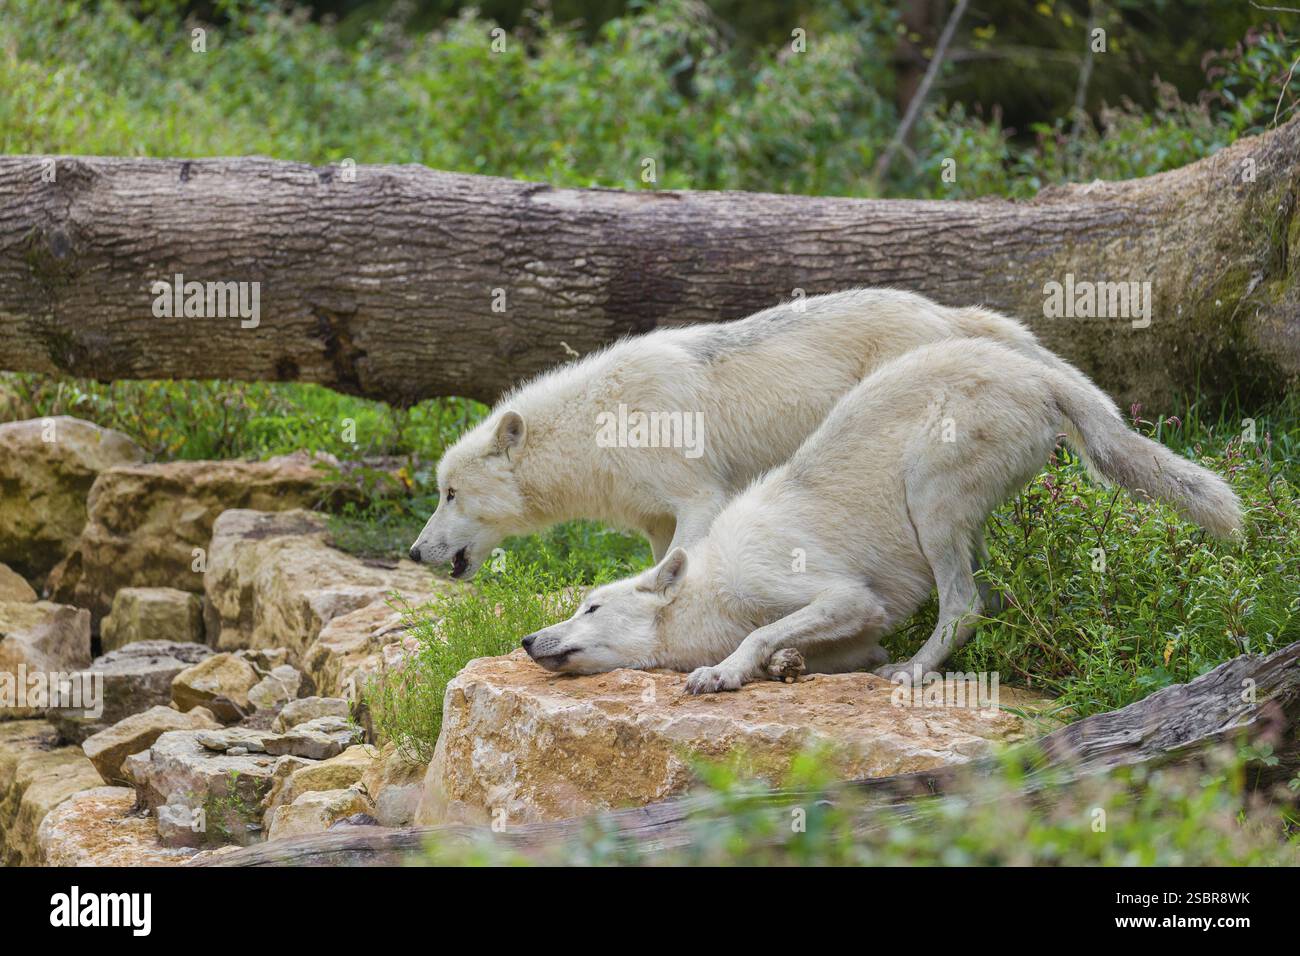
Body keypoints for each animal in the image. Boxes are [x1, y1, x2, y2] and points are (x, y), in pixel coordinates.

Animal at [409, 288, 1062, 578]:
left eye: (450, 494)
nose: (414, 552)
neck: (596, 428)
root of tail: (947, 312)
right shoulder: (656, 521)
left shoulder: (700, 499)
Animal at [518, 338, 1242, 691]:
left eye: (589, 607)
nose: (526, 640)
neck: (711, 595)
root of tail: (1036, 371)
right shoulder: (860, 636)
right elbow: (796, 648)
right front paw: (782, 668)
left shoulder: (843, 596)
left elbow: (761, 633)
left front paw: (724, 673)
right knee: (989, 600)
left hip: (929, 500)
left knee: (965, 606)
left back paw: (916, 674)